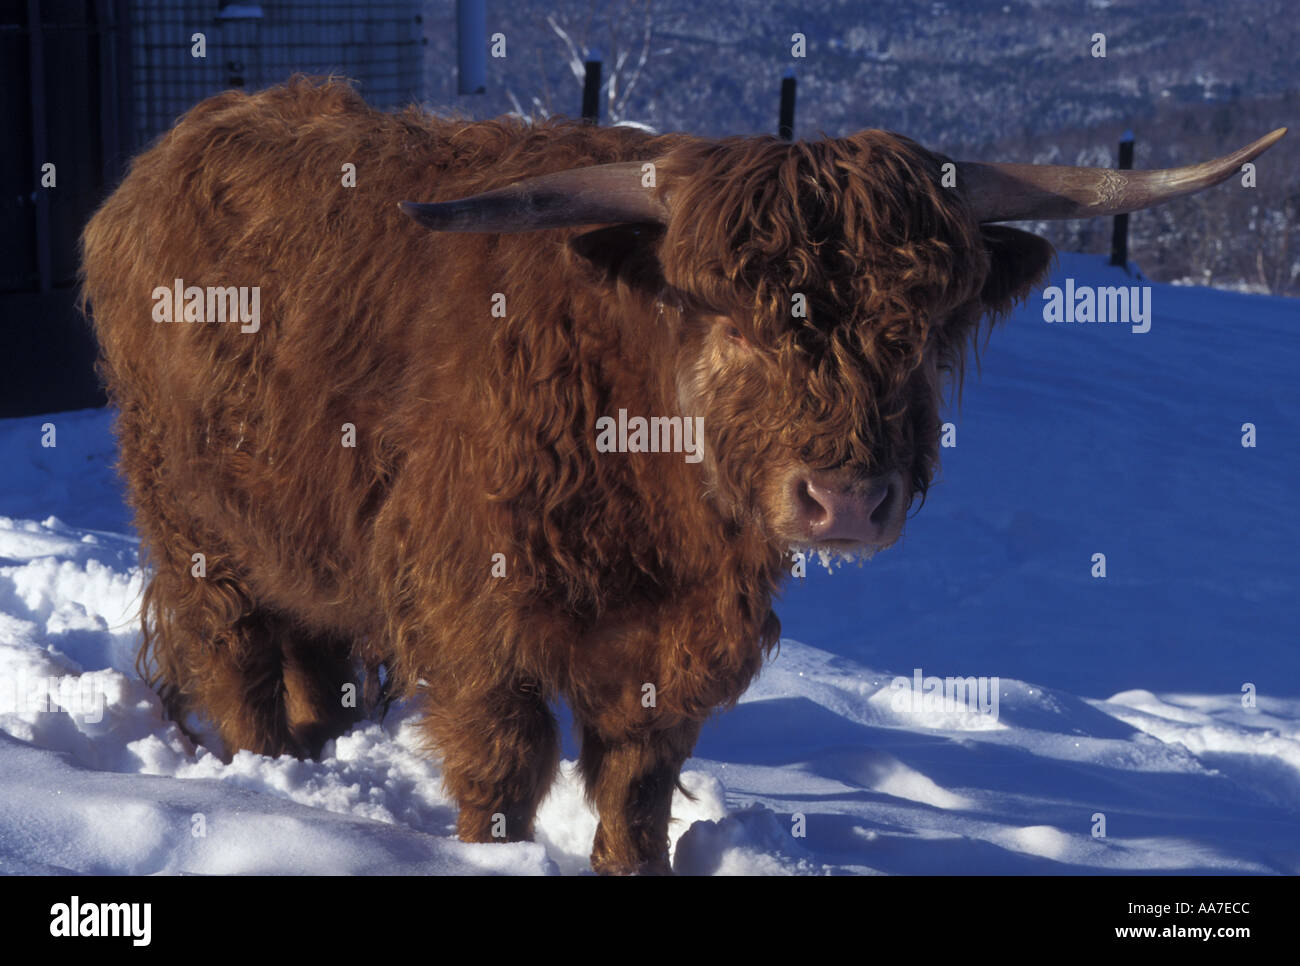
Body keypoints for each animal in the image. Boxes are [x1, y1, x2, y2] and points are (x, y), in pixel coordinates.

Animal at [80, 77, 1284, 874]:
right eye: (732, 318)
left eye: (914, 327)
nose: (846, 500)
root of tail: (184, 141)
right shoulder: (476, 613)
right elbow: (503, 770)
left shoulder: (675, 648)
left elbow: (636, 786)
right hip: (192, 522)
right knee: (235, 657)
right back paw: (267, 775)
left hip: (302, 530)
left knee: (311, 664)